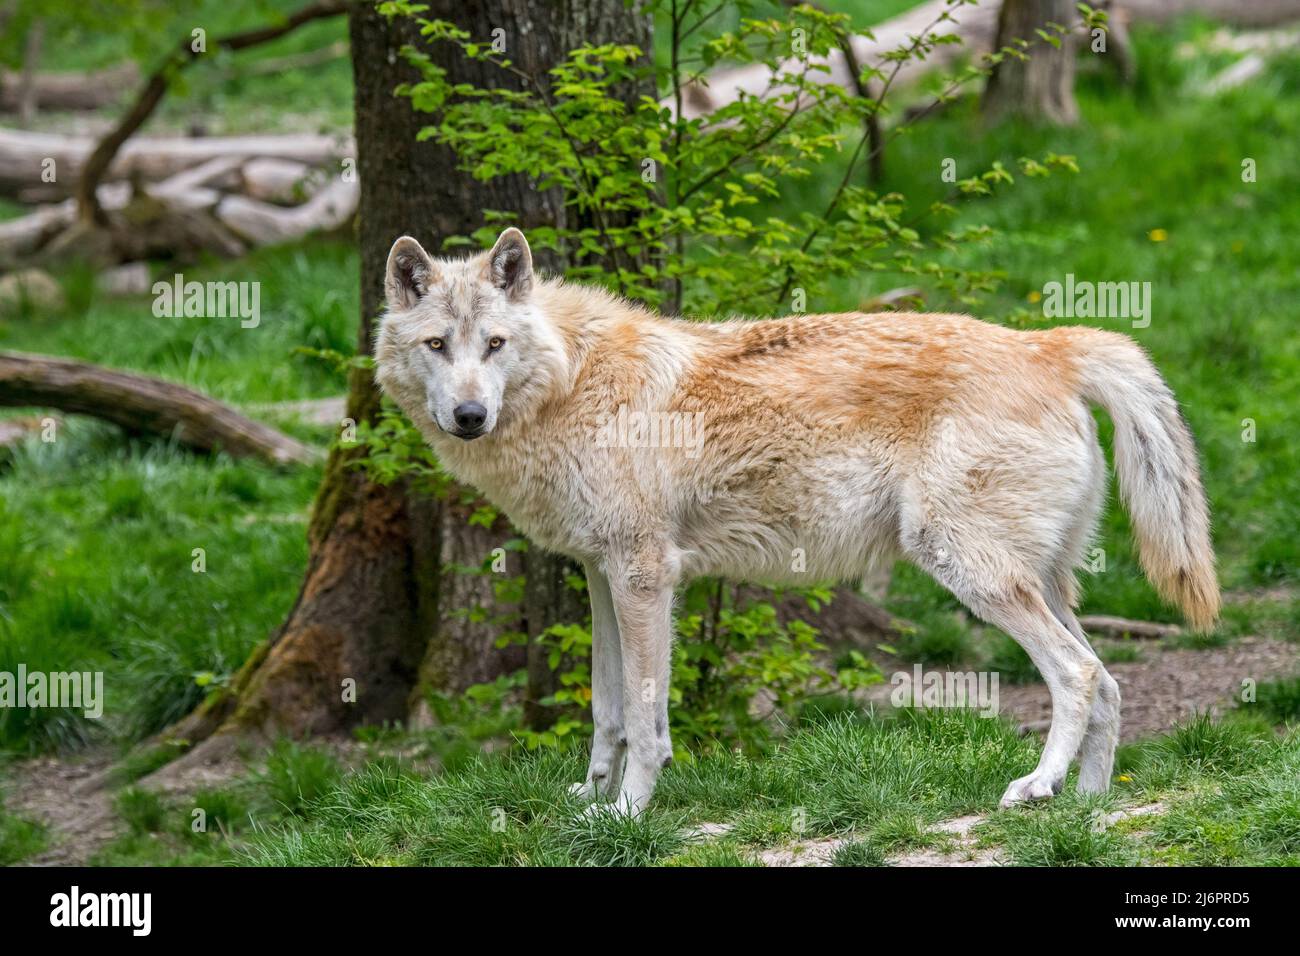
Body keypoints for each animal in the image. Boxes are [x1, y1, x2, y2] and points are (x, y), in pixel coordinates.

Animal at [375, 227, 1220, 815]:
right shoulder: (599, 574)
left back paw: (1038, 786)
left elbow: (646, 722)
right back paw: (1087, 804)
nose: (469, 415)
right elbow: (607, 709)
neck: (569, 381)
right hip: (1039, 581)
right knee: (1109, 682)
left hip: (969, 571)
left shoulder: (645, 577)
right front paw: (587, 800)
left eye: (494, 344)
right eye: (437, 345)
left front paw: (627, 814)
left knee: (1078, 674)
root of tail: (1051, 343)